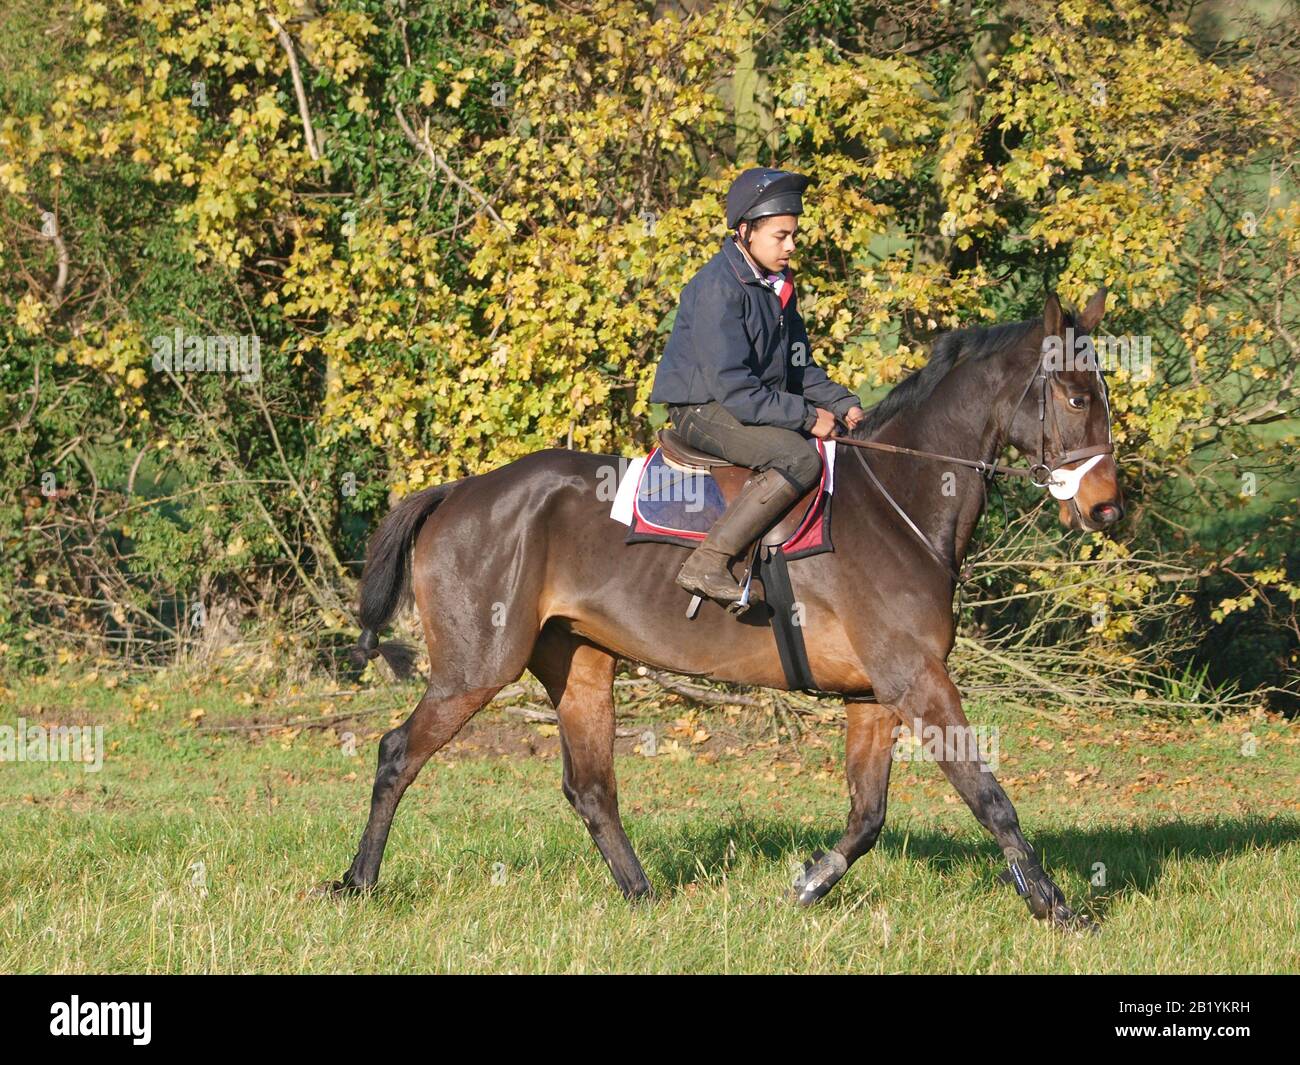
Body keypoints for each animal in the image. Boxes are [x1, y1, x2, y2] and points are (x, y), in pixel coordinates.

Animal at [326, 288, 1123, 931]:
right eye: (1076, 397)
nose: (1106, 509)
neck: (899, 498)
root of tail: (458, 492)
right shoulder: (916, 678)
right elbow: (988, 795)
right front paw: (1055, 906)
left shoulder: (875, 694)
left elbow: (867, 817)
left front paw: (808, 884)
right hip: (476, 668)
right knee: (398, 752)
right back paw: (357, 882)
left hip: (579, 665)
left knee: (591, 789)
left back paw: (643, 897)